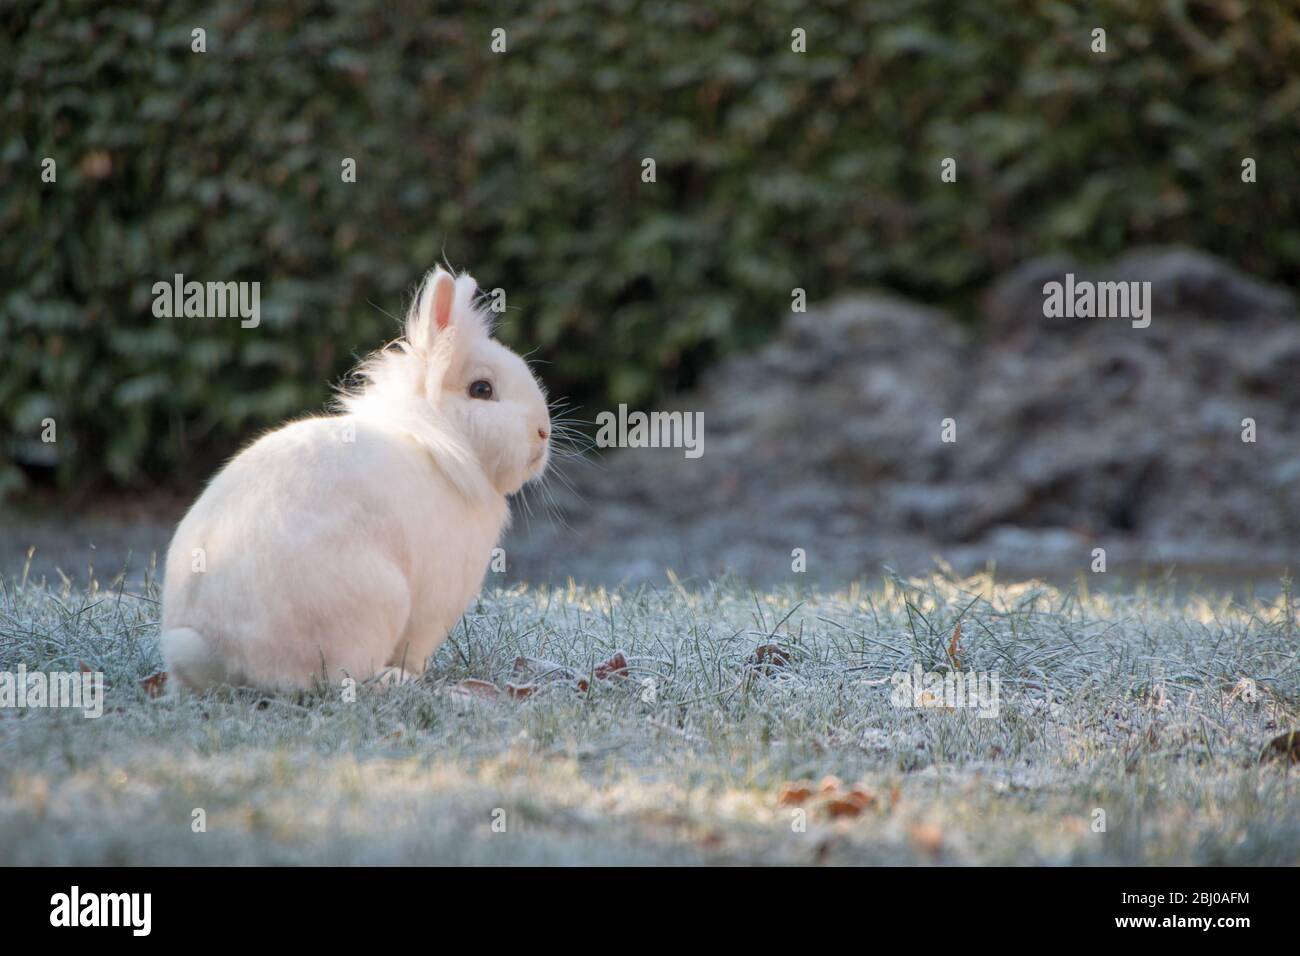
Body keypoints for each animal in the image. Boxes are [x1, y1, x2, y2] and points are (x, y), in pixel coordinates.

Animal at [159, 266, 551, 691]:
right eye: (482, 389)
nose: (543, 433)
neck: (439, 444)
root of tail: (219, 653)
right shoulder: (433, 609)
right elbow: (417, 648)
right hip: (379, 600)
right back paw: (394, 679)